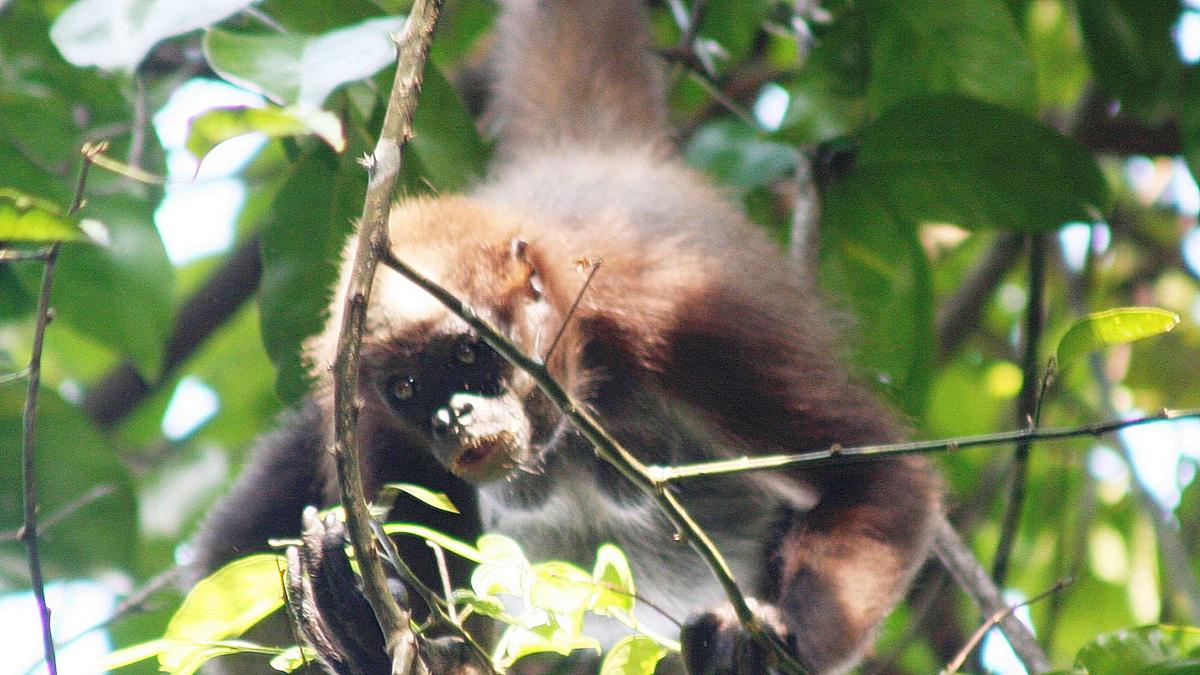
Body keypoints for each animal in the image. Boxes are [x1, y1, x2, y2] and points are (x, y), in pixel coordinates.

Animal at [190, 0, 940, 672]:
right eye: (407, 388)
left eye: (470, 352)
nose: (451, 415)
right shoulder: (367, 420)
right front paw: (360, 630)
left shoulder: (685, 324)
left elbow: (883, 474)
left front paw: (774, 645)